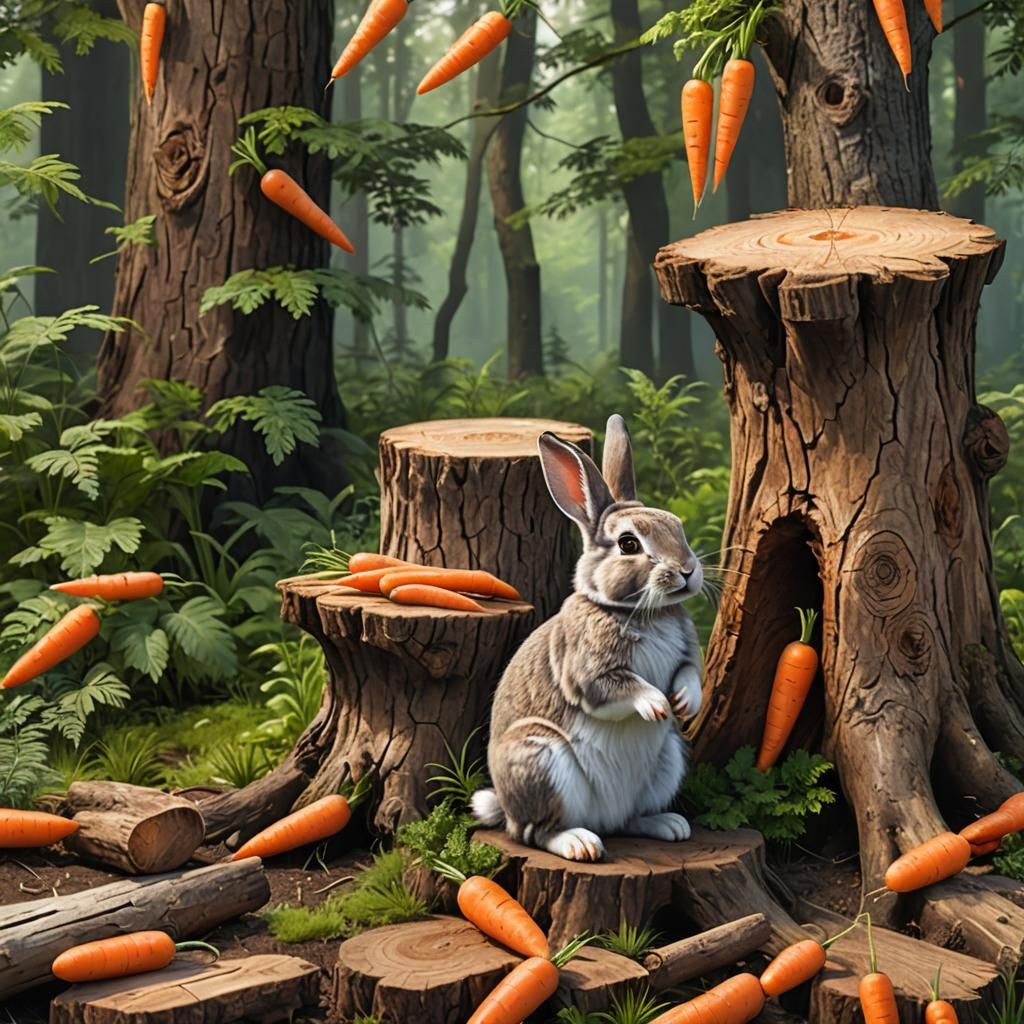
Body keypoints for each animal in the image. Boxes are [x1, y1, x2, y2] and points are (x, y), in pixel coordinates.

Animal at [471, 414, 704, 862]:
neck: (641, 612)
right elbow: (619, 687)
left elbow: (689, 673)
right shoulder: (588, 672)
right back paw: (580, 844)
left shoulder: (687, 653)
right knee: (533, 833)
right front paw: (657, 705)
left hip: (666, 762)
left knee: (627, 820)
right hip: (540, 761)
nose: (687, 570)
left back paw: (670, 826)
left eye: (677, 526)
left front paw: (685, 703)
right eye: (628, 543)